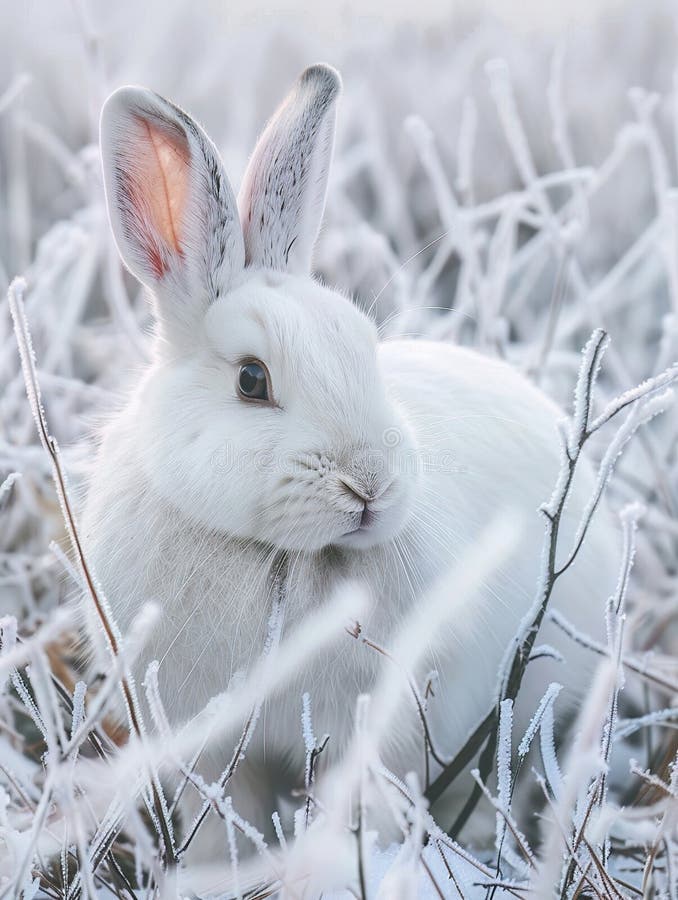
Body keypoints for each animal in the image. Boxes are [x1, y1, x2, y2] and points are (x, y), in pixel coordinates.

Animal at [84, 63, 619, 857]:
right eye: (251, 380)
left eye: (366, 349)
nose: (370, 486)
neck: (274, 555)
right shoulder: (202, 745)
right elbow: (222, 821)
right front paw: (217, 872)